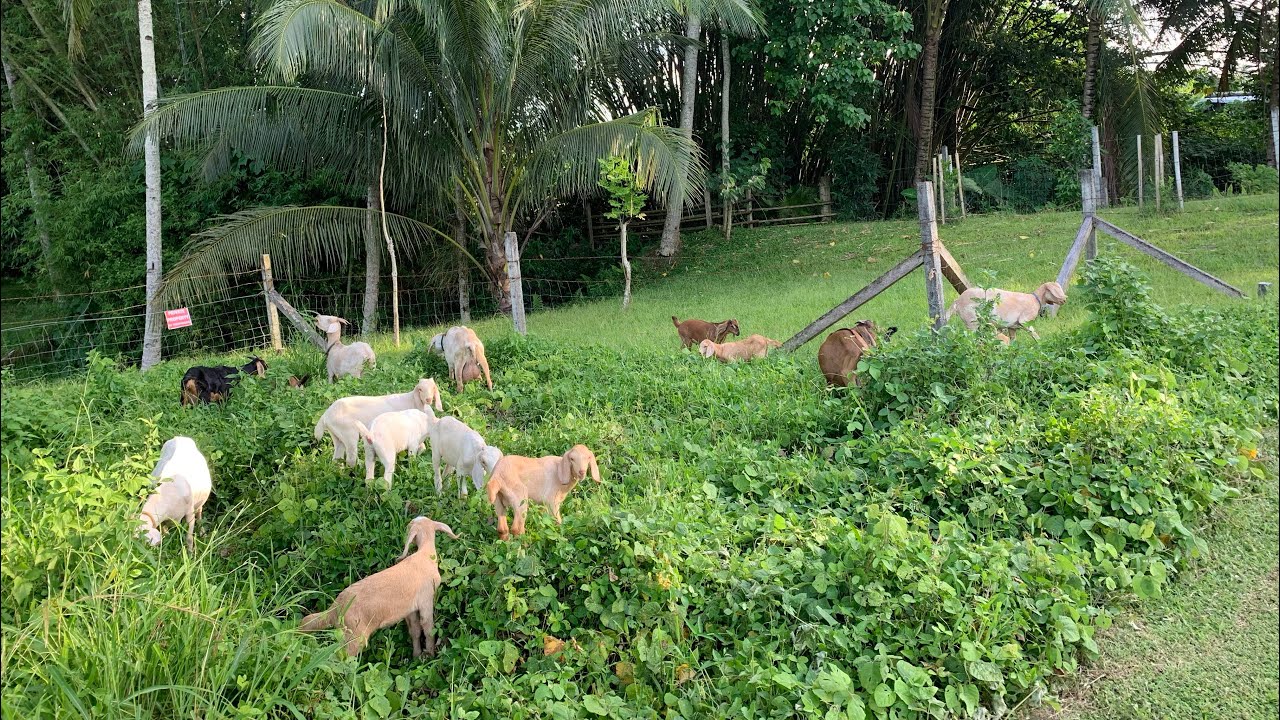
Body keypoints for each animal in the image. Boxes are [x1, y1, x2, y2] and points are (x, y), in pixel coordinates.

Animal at [300, 516, 458, 658]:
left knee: (308, 621)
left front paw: (416, 655)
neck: (424, 555)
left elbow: (415, 630)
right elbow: (428, 627)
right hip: (354, 636)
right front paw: (430, 654)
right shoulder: (426, 598)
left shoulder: (410, 608)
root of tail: (335, 609)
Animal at [314, 379, 443, 466]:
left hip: (338, 436)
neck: (412, 401)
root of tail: (326, 415)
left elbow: (422, 447)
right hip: (349, 434)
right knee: (350, 458)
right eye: (420, 389)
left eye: (433, 388)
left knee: (337, 457)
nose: (428, 399)